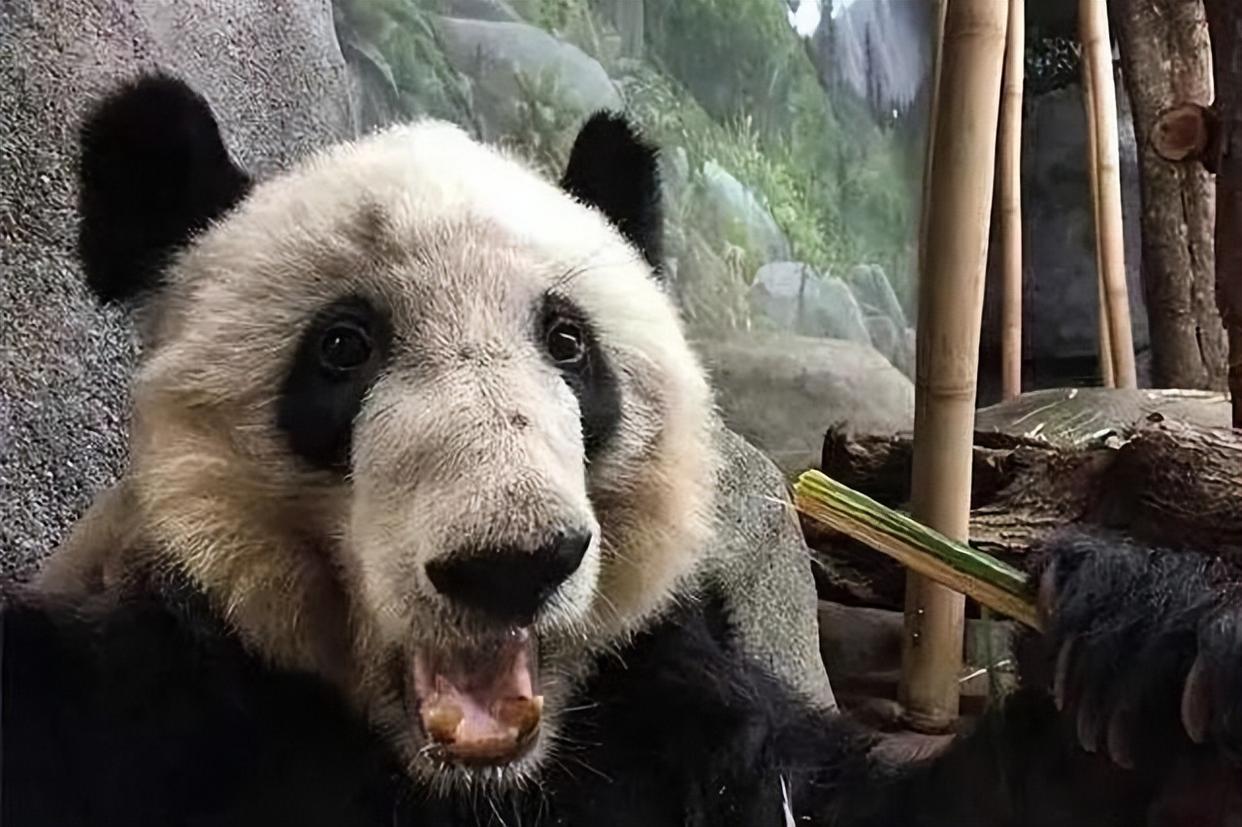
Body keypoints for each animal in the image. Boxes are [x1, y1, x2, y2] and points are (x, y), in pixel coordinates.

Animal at [3, 73, 1242, 827]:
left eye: (568, 343)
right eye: (341, 348)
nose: (511, 563)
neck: (475, 778)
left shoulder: (670, 704)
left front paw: (1152, 657)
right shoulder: (163, 705)